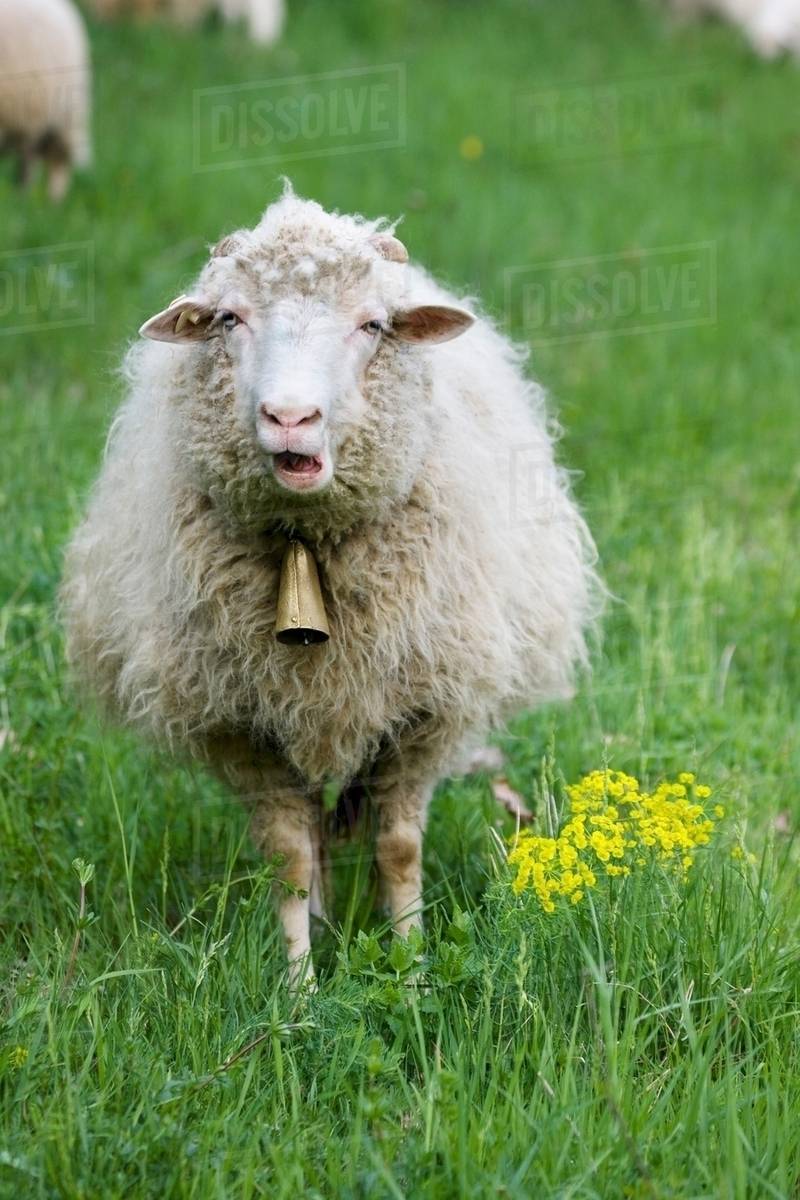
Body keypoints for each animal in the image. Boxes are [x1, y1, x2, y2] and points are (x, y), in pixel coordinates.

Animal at [61, 187, 599, 987]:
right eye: (230, 319)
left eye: (372, 325)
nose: (290, 418)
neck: (306, 545)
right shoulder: (241, 719)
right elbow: (286, 857)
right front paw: (297, 990)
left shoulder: (424, 709)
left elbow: (398, 847)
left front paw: (411, 970)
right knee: (311, 832)